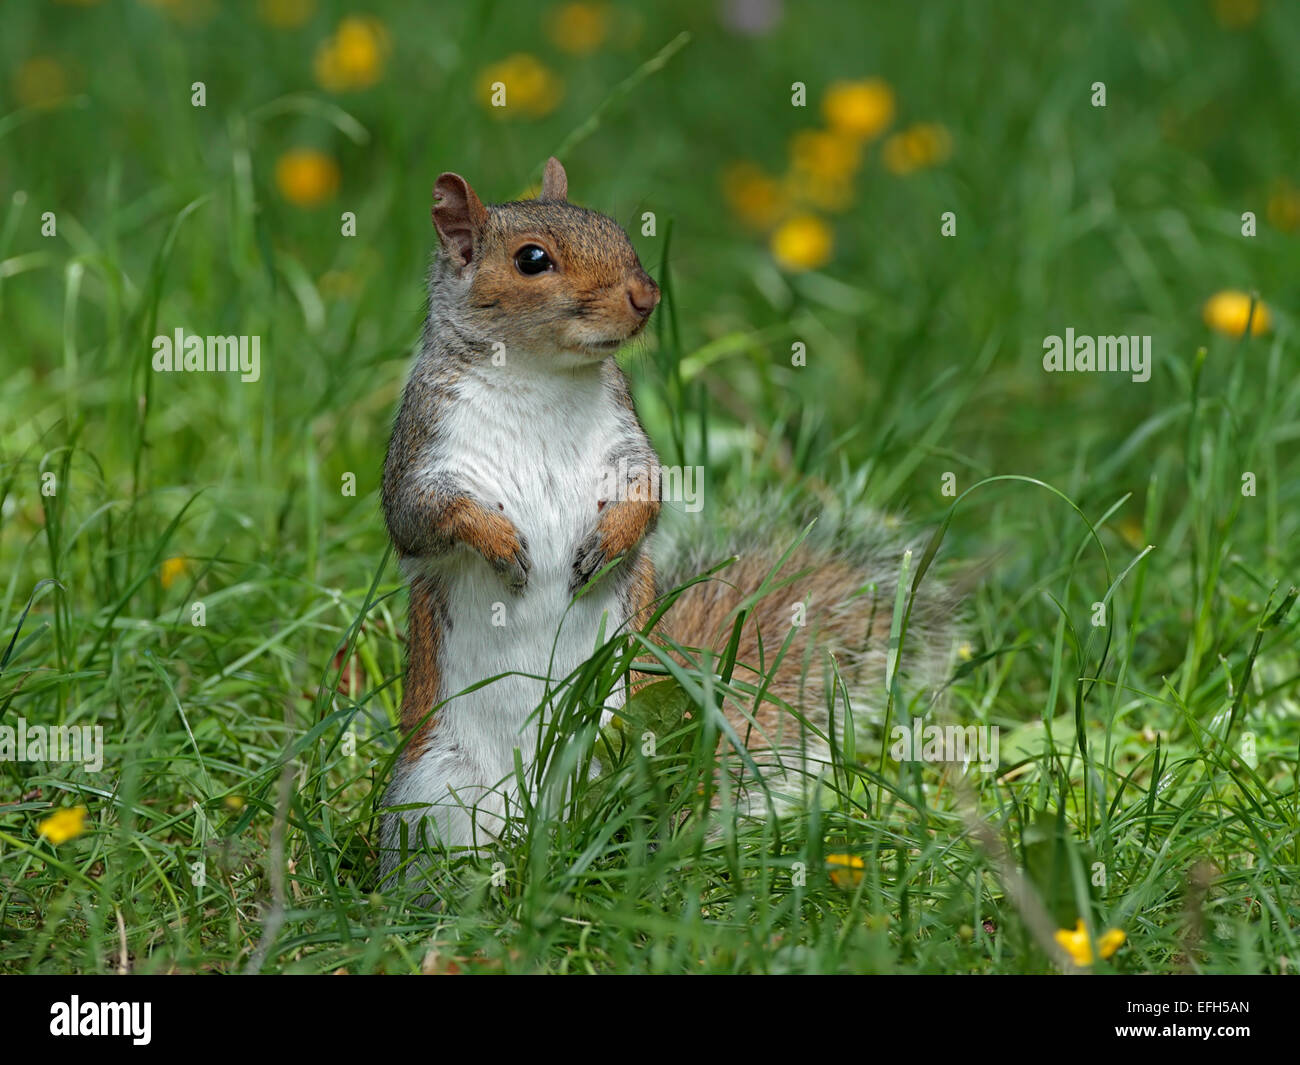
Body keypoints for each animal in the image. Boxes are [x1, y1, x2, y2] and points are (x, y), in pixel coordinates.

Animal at [379, 158, 956, 884]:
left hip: (632, 757)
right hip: (431, 786)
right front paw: (502, 542)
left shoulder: (626, 444)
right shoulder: (424, 448)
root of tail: (539, 832)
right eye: (531, 259)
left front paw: (609, 542)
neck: (540, 375)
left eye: (617, 230)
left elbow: (649, 495)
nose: (646, 295)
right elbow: (423, 515)